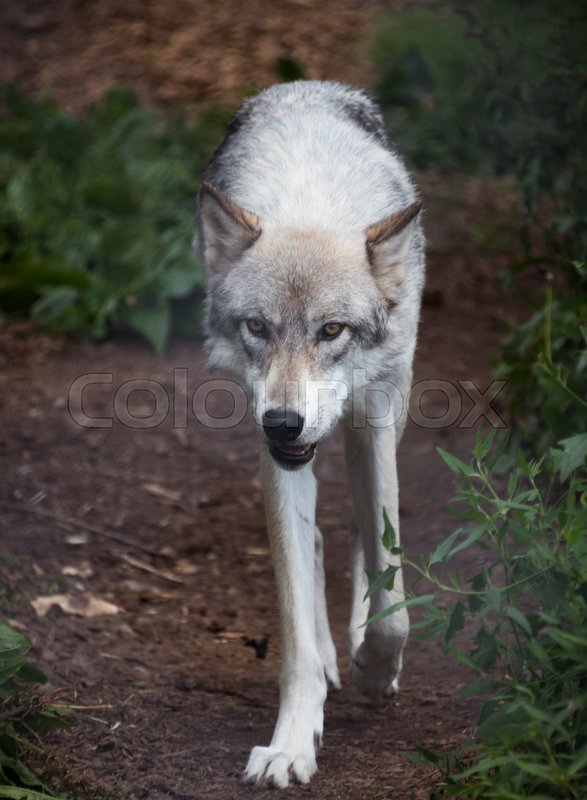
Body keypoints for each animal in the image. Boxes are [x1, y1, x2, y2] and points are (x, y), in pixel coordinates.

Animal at [195, 80, 425, 788]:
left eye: (331, 330)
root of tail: (304, 86)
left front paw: (375, 667)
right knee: (320, 537)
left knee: (362, 533)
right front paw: (292, 744)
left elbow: (392, 586)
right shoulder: (273, 450)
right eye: (258, 327)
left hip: (385, 415)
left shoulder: (374, 416)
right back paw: (330, 655)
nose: (283, 420)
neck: (311, 204)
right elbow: (293, 632)